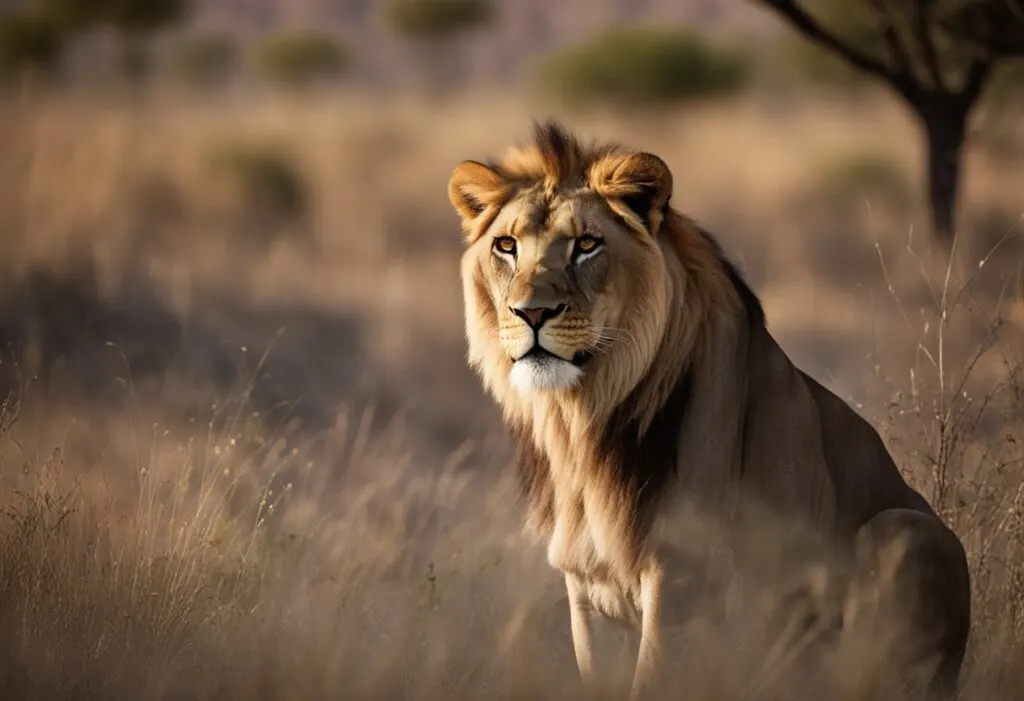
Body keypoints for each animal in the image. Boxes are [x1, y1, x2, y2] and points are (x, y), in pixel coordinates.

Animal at [446, 121, 971, 700]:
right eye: (506, 246)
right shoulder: (585, 586)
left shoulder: (681, 573)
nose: (531, 313)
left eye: (586, 245)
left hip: (904, 531)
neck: (584, 418)